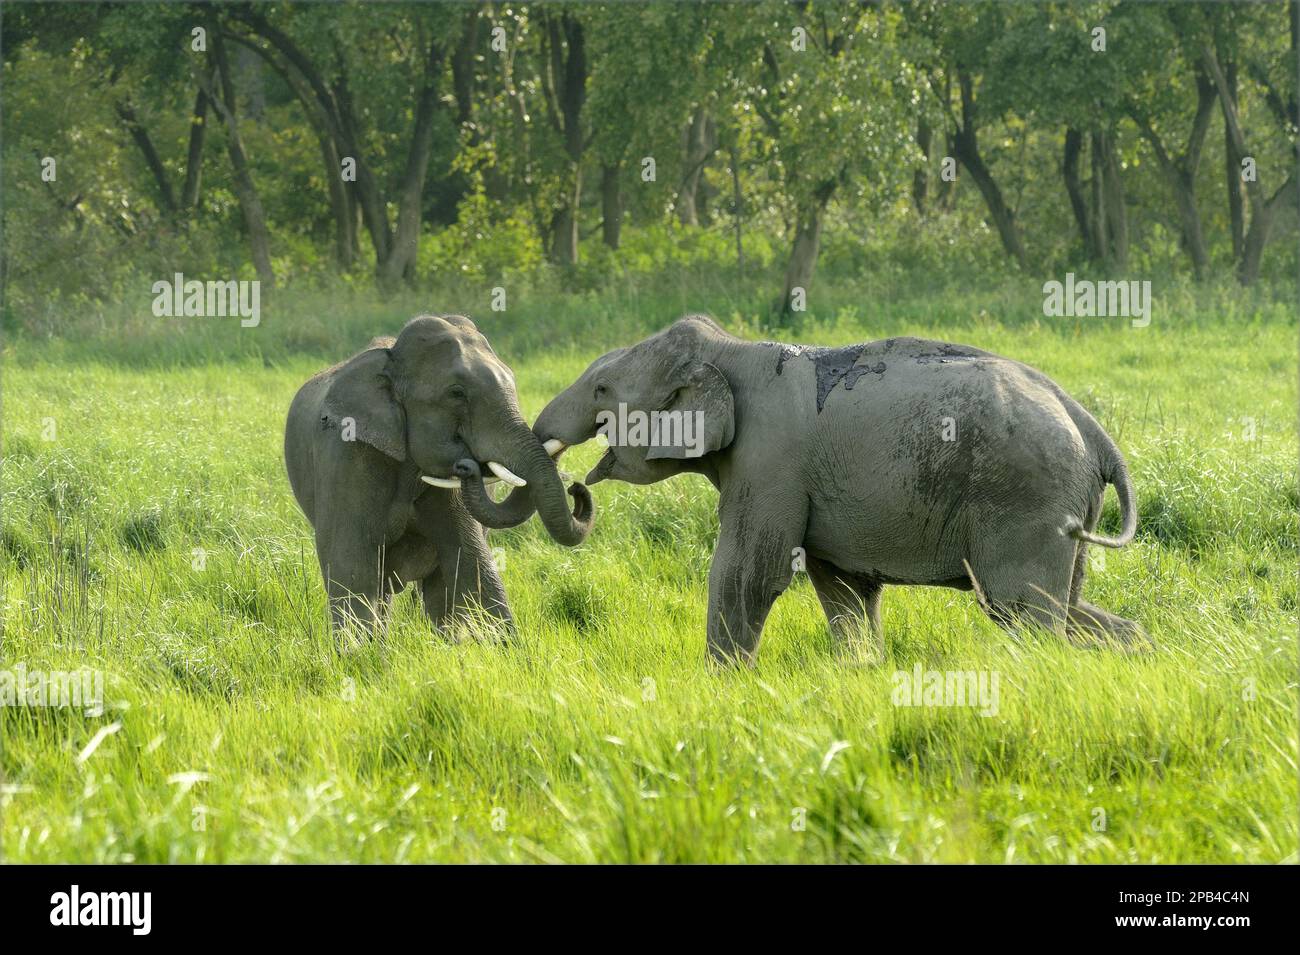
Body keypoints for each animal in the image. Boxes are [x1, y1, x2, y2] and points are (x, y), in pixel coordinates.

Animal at [284, 314, 592, 642]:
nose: (576, 489)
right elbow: (352, 563)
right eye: (456, 393)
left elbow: (471, 560)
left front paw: (504, 647)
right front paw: (360, 652)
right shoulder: (347, 454)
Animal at [517, 314, 1142, 665]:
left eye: (602, 387)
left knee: (1021, 610)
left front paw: (723, 686)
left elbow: (748, 574)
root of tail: (1092, 429)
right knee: (1066, 605)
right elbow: (844, 589)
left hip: (1026, 500)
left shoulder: (769, 463)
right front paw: (860, 671)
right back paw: (1134, 650)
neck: (730, 350)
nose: (577, 487)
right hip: (1063, 508)